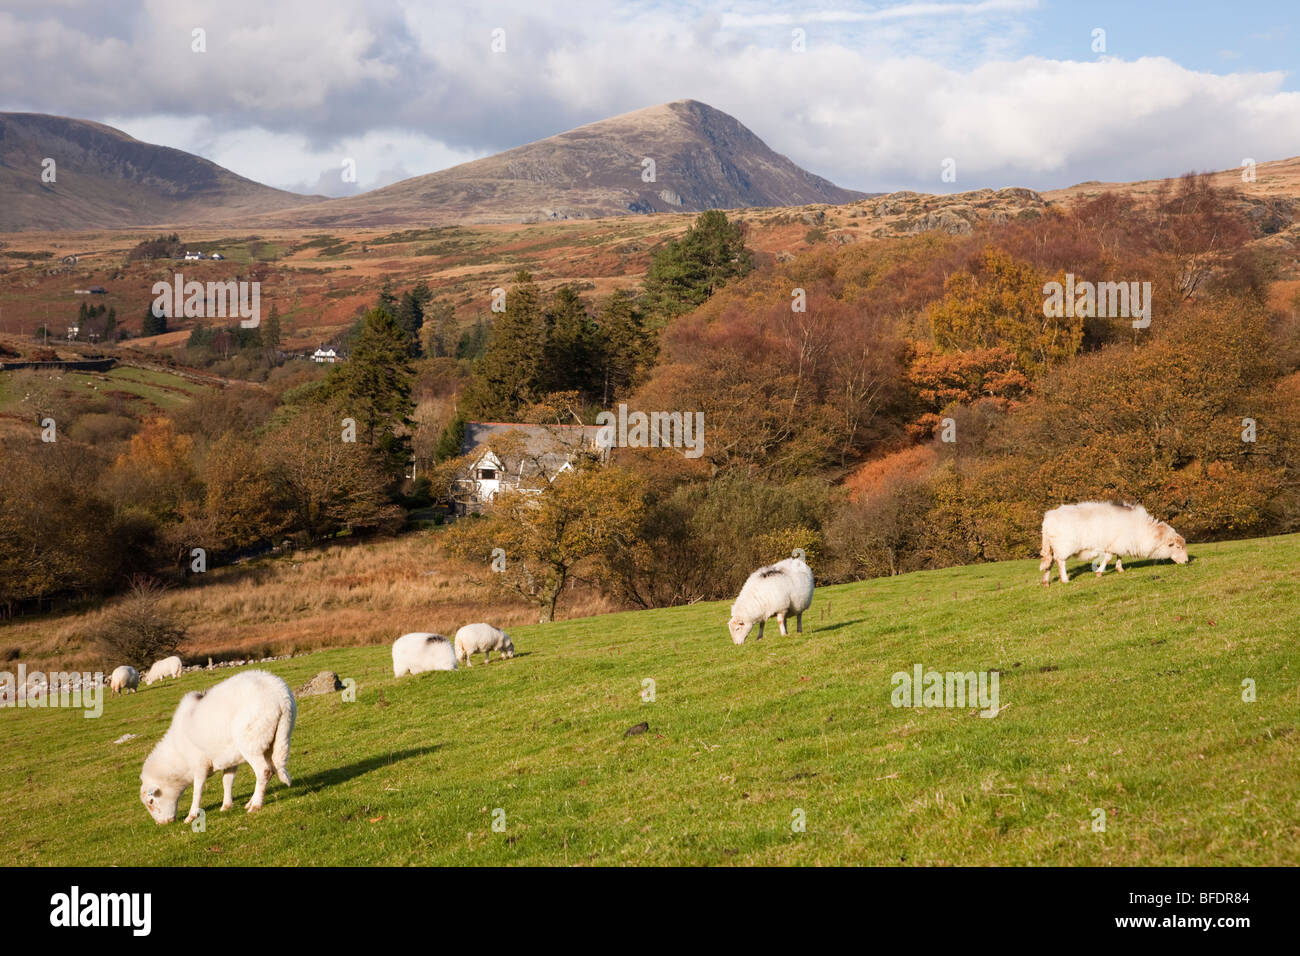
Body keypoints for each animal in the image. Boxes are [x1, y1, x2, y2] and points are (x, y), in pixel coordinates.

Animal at [139, 670, 295, 825]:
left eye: (151, 801)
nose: (161, 824)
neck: (179, 756)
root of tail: (281, 696)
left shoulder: (199, 764)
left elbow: (197, 789)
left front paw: (192, 815)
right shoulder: (230, 758)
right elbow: (227, 781)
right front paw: (226, 806)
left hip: (250, 742)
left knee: (264, 771)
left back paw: (256, 805)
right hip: (274, 740)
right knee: (271, 768)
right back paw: (251, 801)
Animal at [1040, 501, 1189, 585]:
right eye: (1178, 547)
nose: (1187, 562)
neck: (1144, 531)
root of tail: (1048, 520)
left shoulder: (1120, 543)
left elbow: (1119, 556)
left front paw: (1119, 569)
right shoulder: (1113, 544)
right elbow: (1108, 558)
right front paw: (1099, 572)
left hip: (1052, 547)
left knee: (1050, 562)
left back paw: (1046, 582)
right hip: (1063, 546)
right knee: (1060, 562)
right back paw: (1065, 580)